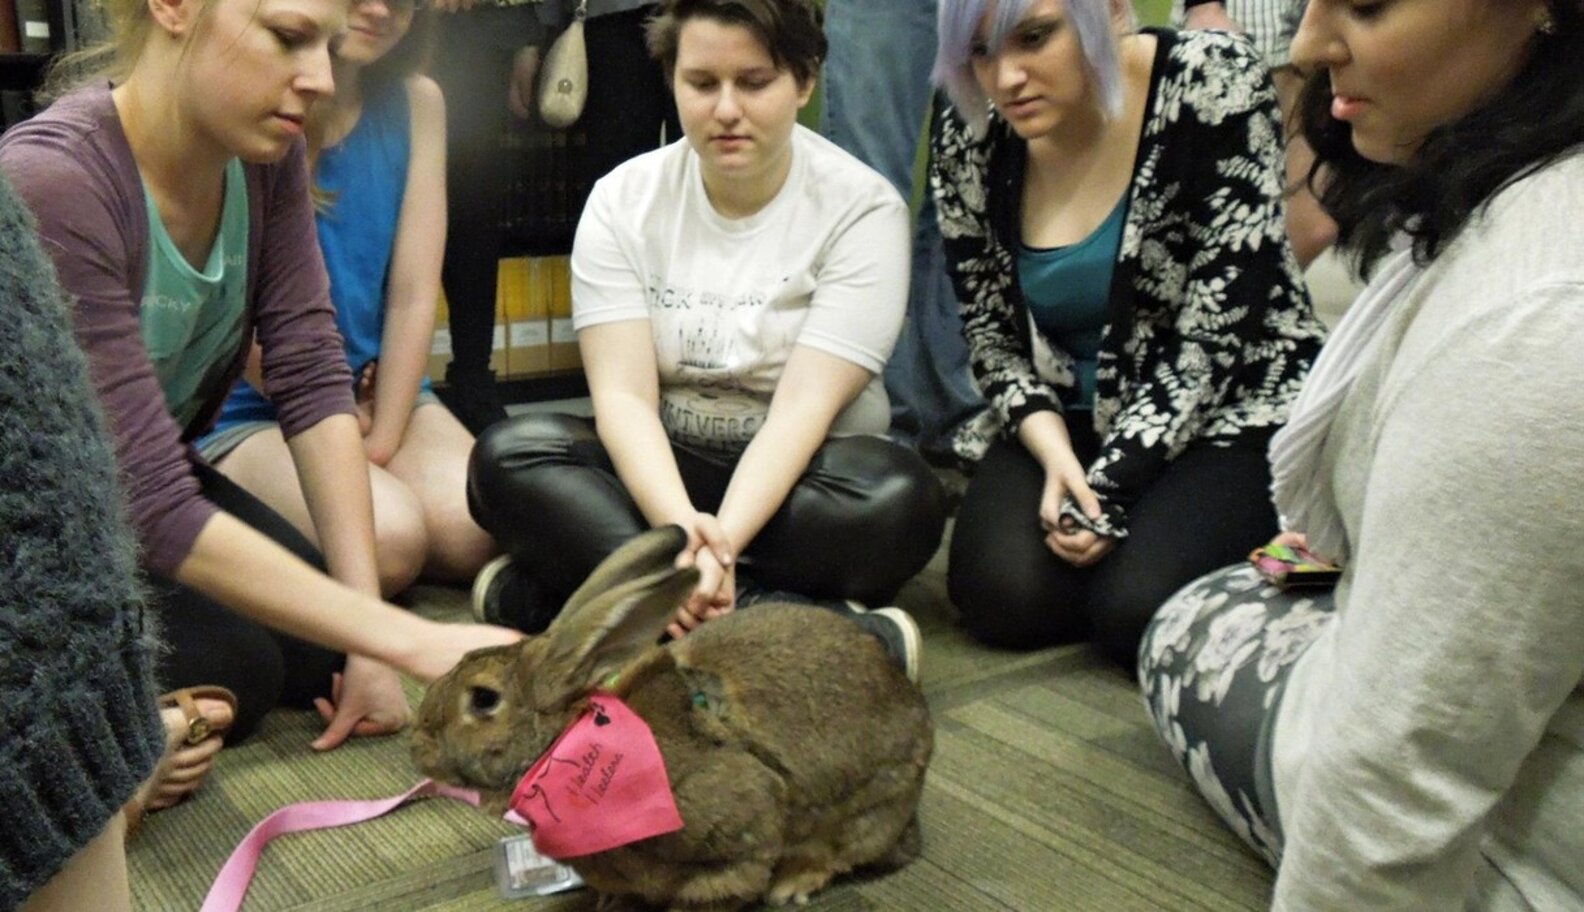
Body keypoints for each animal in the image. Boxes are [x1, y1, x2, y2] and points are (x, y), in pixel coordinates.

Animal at [412, 524, 934, 911]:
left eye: (483, 699)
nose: (418, 746)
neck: (571, 747)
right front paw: (608, 902)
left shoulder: (741, 845)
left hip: (862, 813)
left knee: (840, 855)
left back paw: (793, 885)